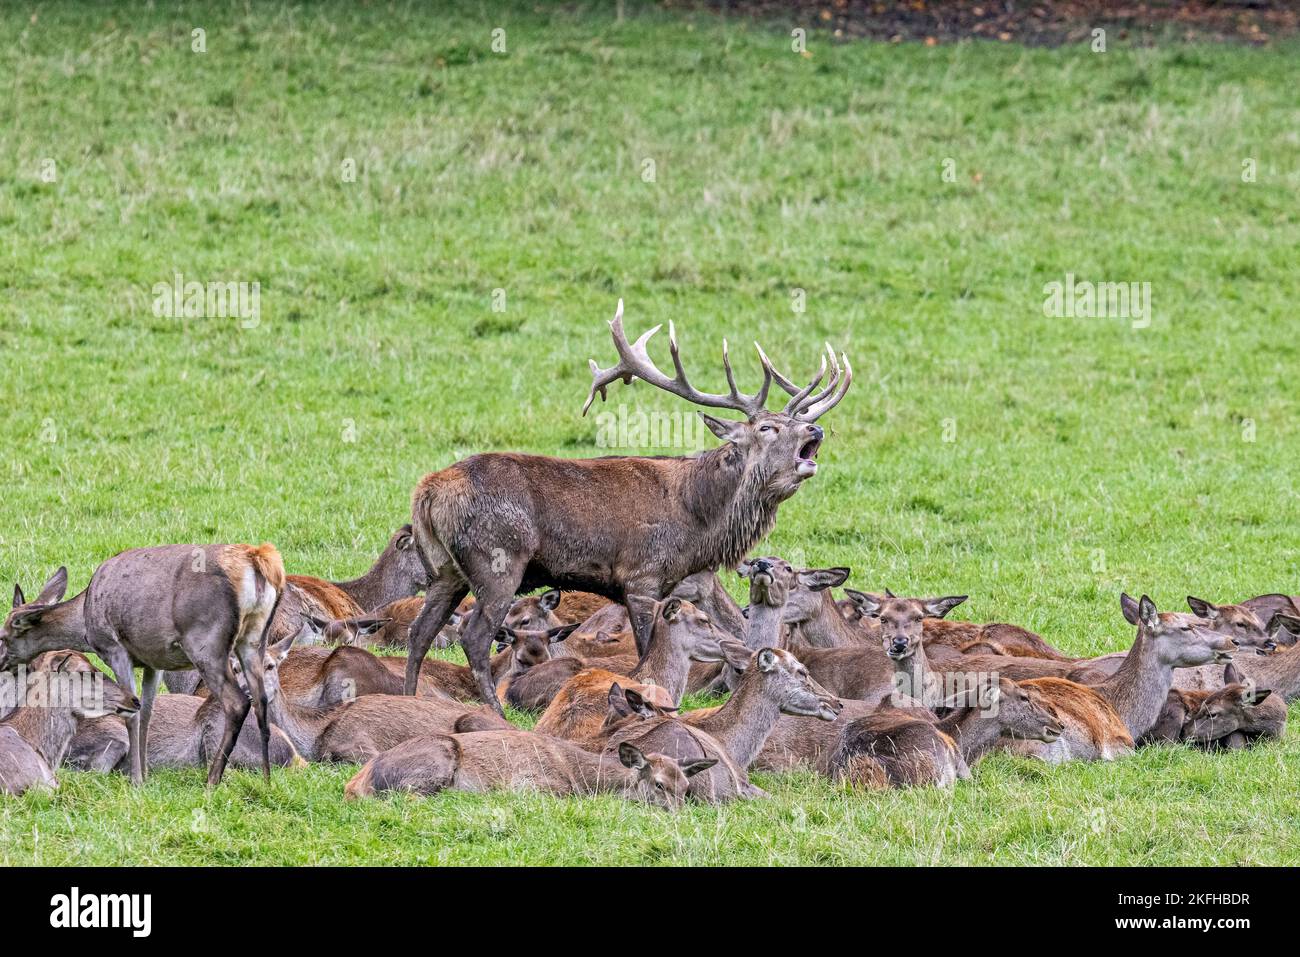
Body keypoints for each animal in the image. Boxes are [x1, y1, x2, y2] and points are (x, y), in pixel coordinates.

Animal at [402, 300, 852, 713]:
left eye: (799, 422)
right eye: (767, 428)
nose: (815, 430)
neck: (698, 520)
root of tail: (427, 491)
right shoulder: (641, 577)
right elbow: (644, 647)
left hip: (445, 570)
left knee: (419, 631)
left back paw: (407, 697)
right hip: (498, 560)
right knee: (473, 637)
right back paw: (495, 713)